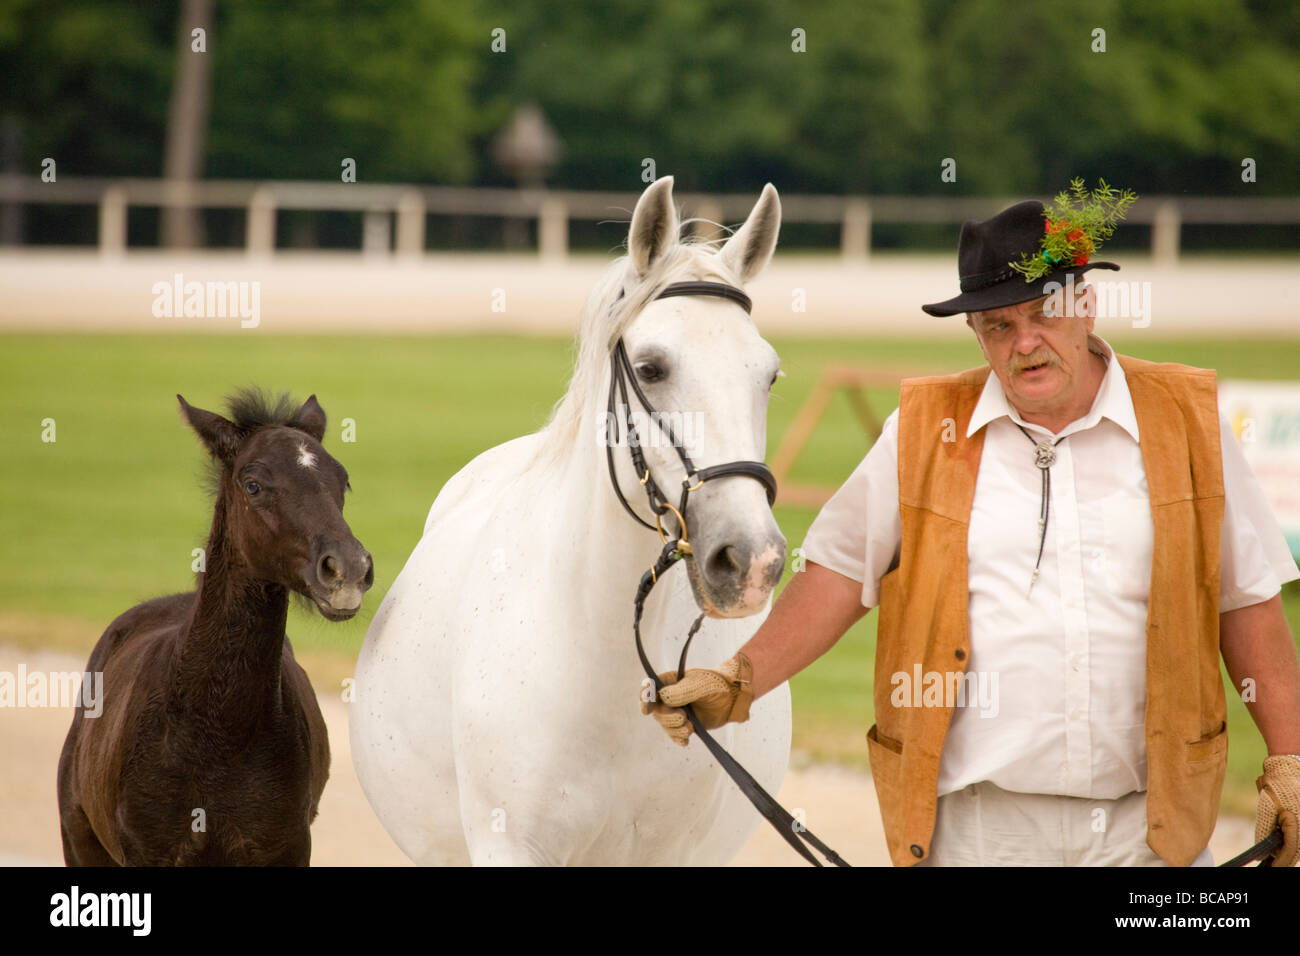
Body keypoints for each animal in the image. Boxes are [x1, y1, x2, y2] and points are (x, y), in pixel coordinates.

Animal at [57, 390, 373, 865]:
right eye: (253, 484)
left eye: (343, 480)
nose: (348, 569)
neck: (217, 734)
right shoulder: (147, 851)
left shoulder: (285, 848)